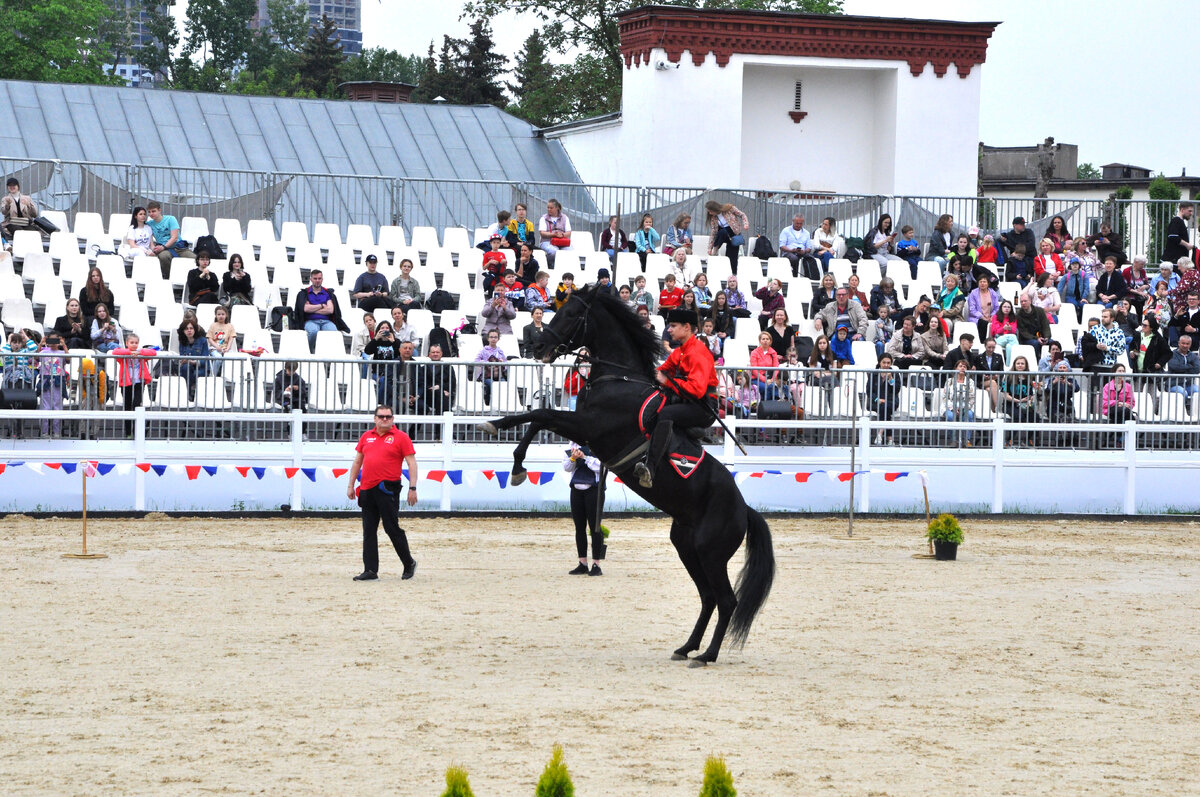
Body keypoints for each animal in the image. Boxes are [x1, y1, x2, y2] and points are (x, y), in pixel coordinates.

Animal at [477, 286, 777, 667]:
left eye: (571, 314)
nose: (539, 345)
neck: (618, 380)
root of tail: (744, 510)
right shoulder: (582, 428)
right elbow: (535, 418)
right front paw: (503, 440)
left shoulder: (589, 429)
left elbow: (540, 414)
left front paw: (513, 461)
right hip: (687, 548)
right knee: (708, 597)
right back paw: (686, 647)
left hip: (711, 553)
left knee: (725, 601)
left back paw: (706, 655)